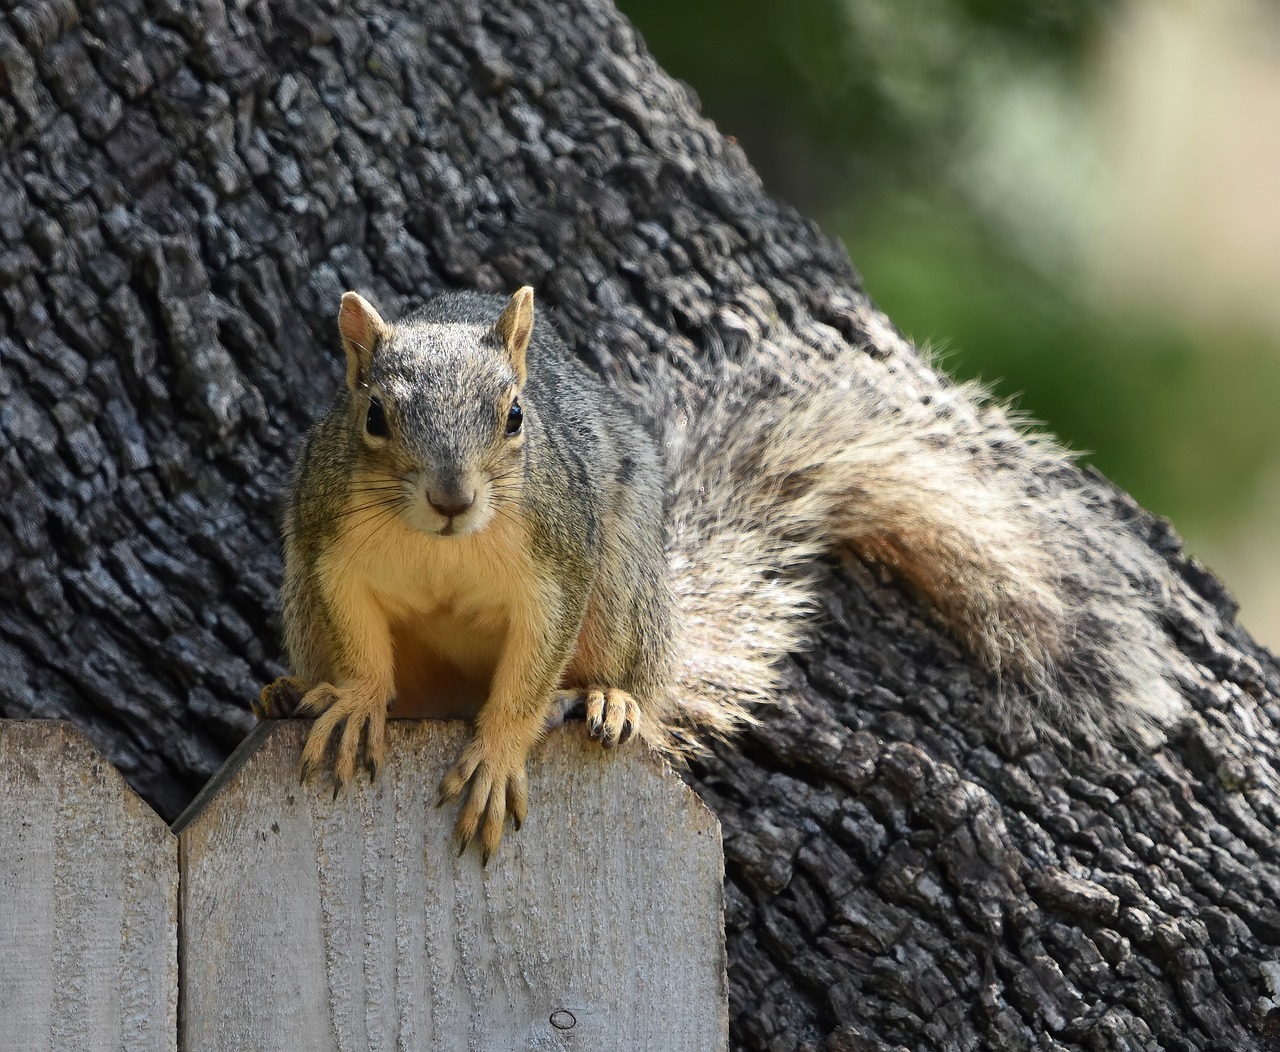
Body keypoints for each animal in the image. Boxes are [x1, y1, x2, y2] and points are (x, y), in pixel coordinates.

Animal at [258, 286, 1184, 861]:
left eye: (514, 415)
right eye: (374, 417)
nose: (452, 499)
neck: (444, 545)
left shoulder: (562, 558)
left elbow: (532, 666)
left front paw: (496, 752)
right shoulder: (328, 546)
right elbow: (359, 640)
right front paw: (359, 700)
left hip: (624, 582)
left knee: (615, 672)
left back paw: (613, 699)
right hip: (303, 598)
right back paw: (292, 691)